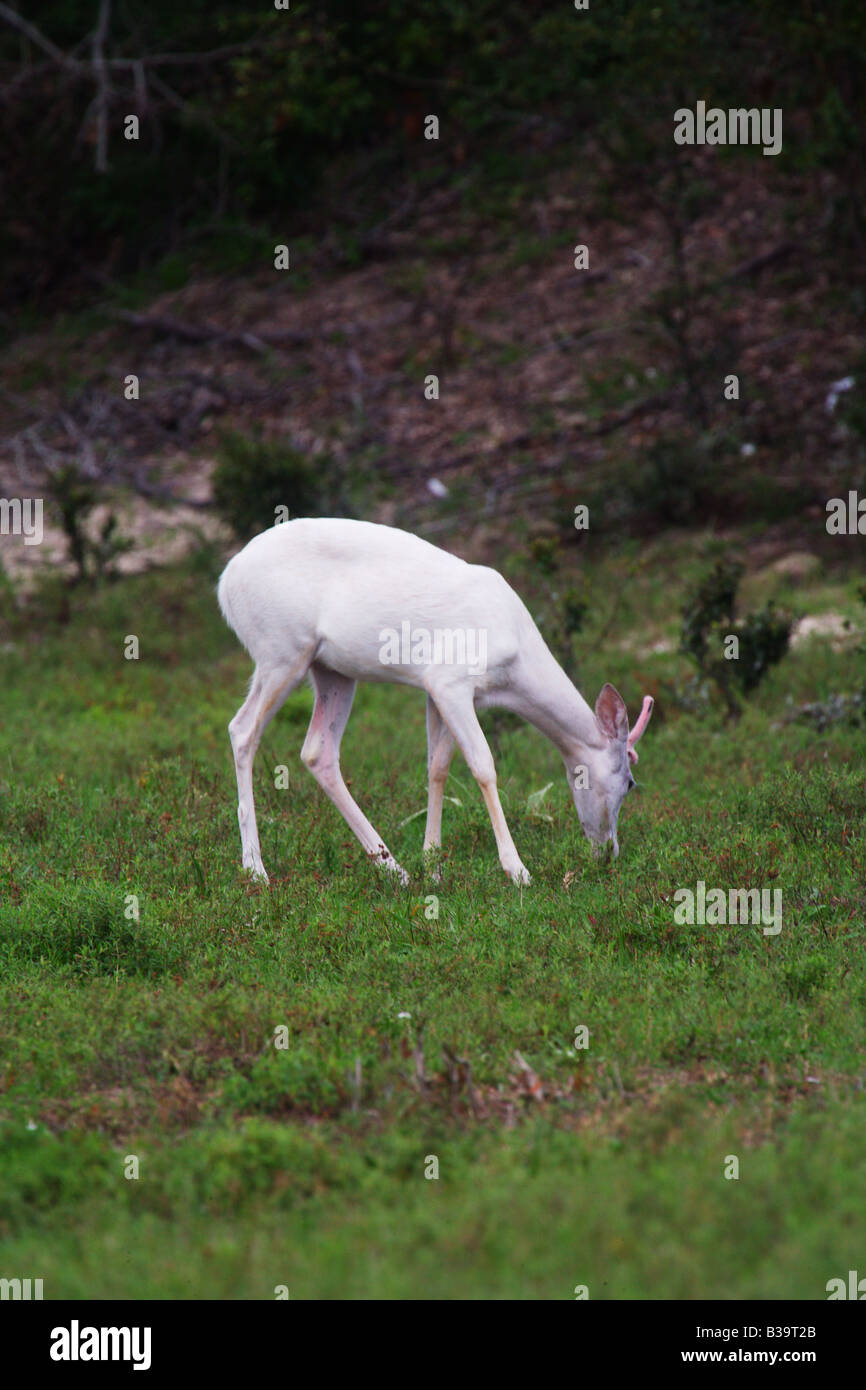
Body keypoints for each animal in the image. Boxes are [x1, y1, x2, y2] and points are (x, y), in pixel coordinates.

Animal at [217, 517, 654, 886]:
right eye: (630, 783)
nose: (609, 852)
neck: (515, 662)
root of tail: (224, 584)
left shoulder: (438, 689)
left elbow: (437, 766)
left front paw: (433, 866)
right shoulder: (451, 680)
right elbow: (483, 765)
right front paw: (517, 871)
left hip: (332, 669)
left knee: (316, 751)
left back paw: (394, 869)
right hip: (281, 650)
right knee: (242, 729)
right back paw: (255, 870)